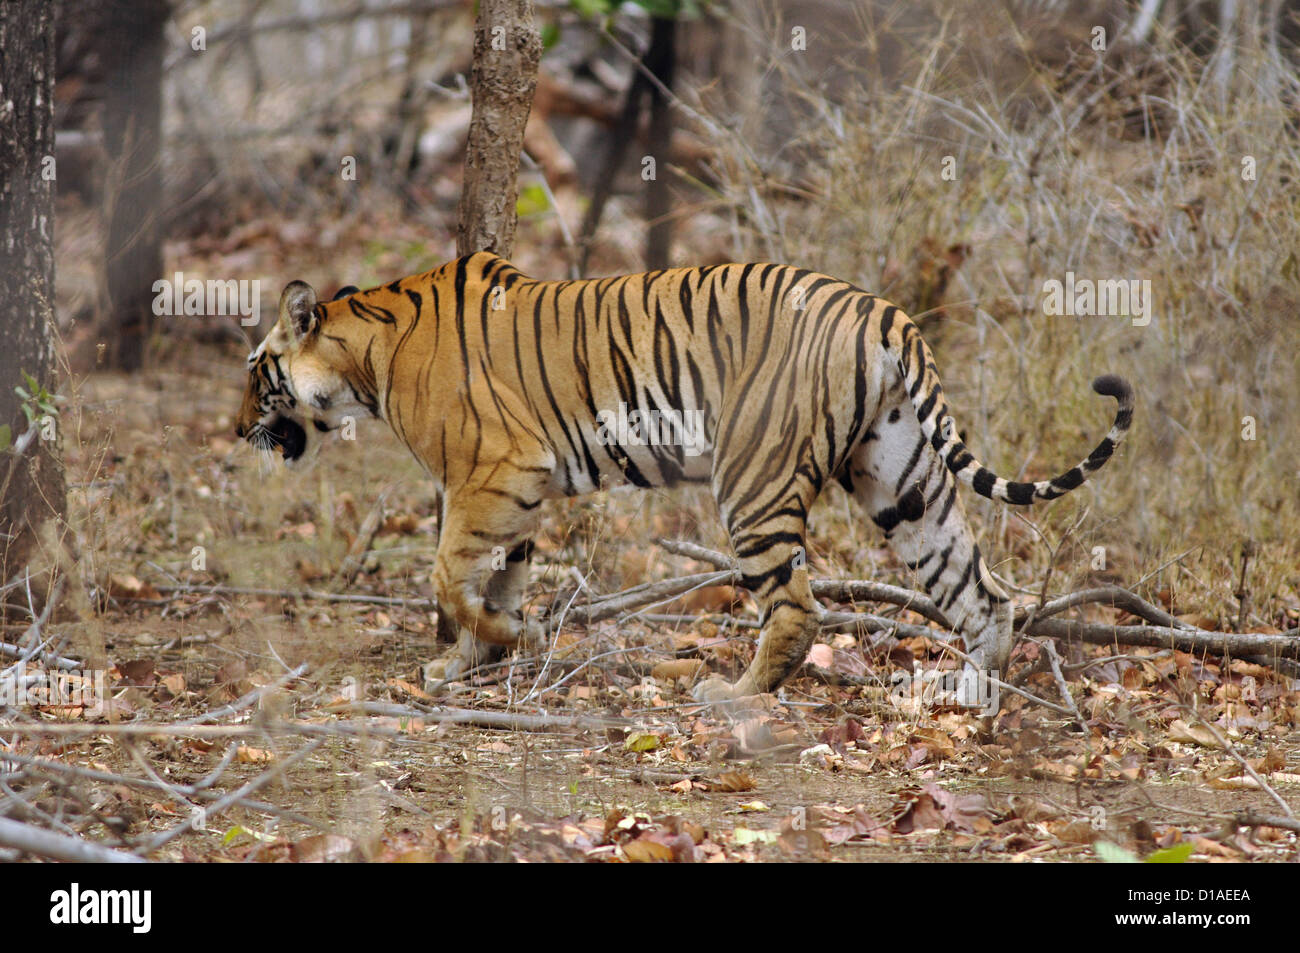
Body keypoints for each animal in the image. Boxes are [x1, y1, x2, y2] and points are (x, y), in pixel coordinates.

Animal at [236, 251, 1134, 705]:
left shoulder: (493, 475)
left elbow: (451, 578)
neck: (366, 356)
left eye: (256, 373)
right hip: (899, 477)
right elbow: (495, 581)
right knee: (984, 592)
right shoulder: (515, 494)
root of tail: (882, 311)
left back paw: (733, 694)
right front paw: (474, 661)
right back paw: (965, 693)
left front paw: (511, 643)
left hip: (754, 481)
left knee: (797, 607)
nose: (235, 427)